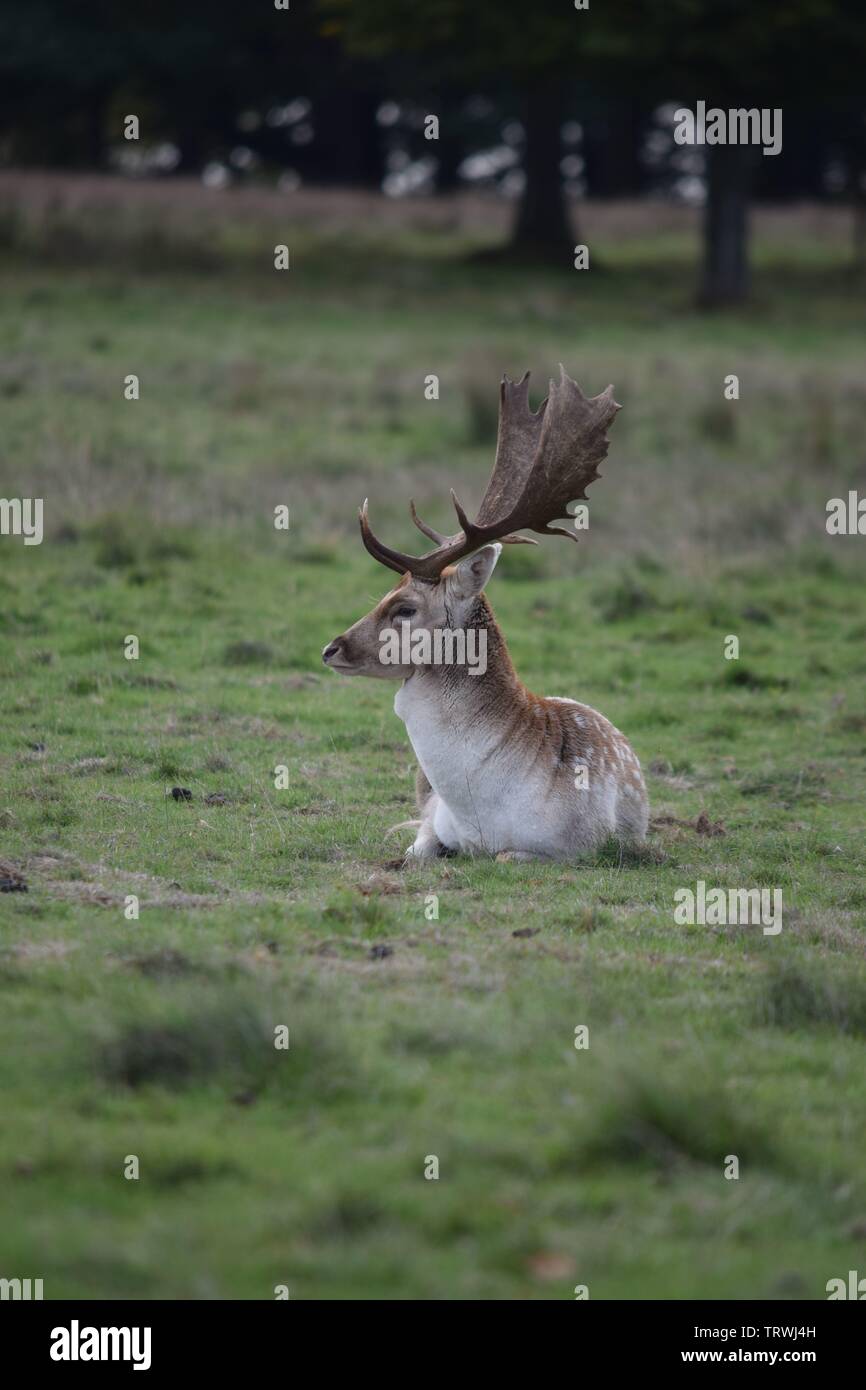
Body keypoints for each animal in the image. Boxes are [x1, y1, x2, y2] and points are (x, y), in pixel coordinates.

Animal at [322, 367, 648, 862]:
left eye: (404, 607)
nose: (331, 648)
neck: (483, 812)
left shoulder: (581, 848)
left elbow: (509, 855)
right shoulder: (434, 817)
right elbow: (416, 849)